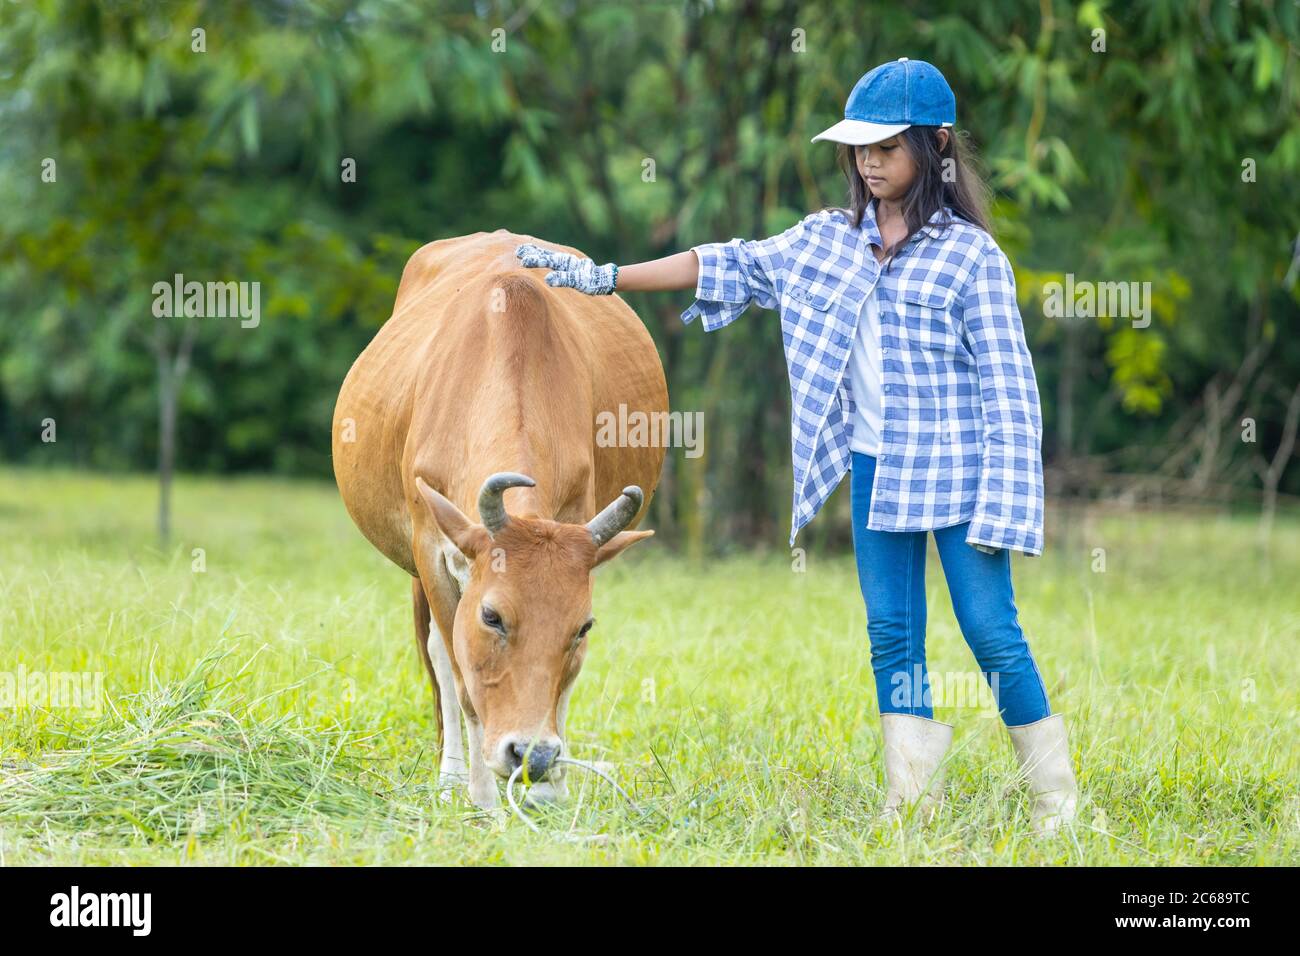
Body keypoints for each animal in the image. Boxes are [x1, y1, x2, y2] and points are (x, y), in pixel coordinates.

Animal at [332, 230, 668, 810]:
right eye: (492, 617)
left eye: (583, 626)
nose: (530, 755)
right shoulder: (433, 547)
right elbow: (460, 675)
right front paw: (481, 794)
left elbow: (563, 686)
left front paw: (550, 788)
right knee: (439, 655)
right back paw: (450, 776)